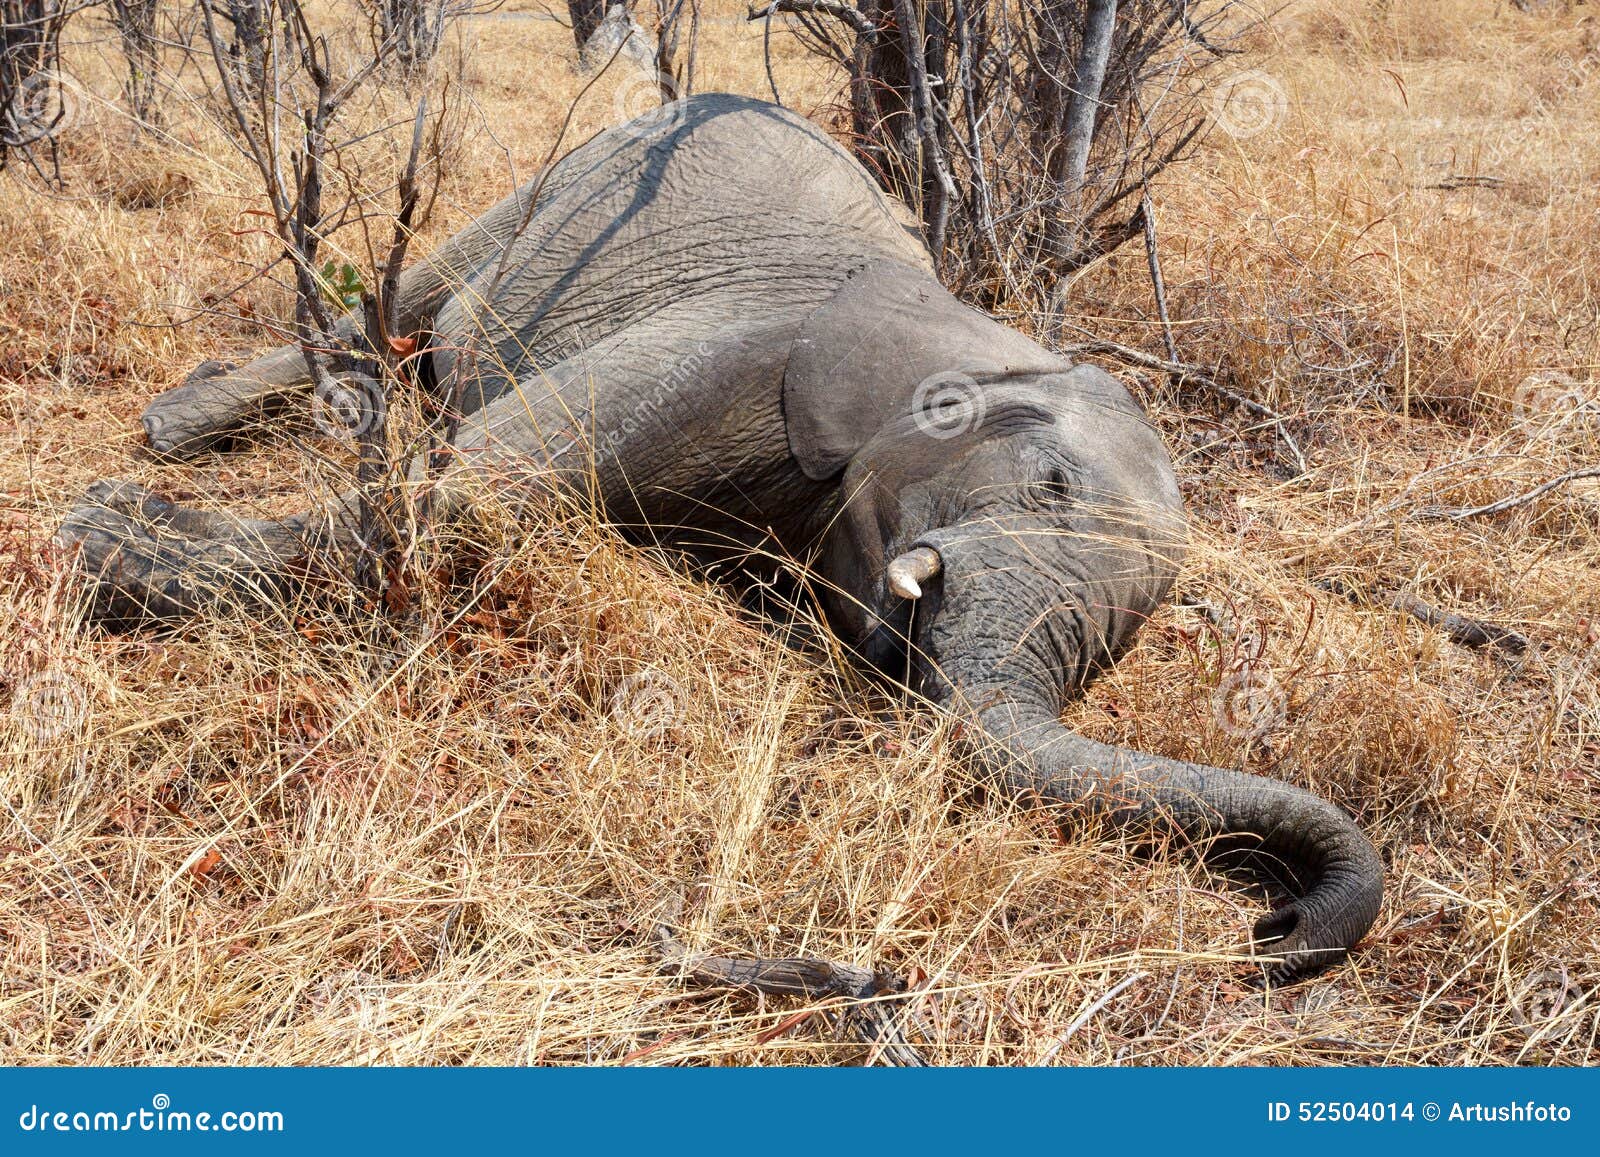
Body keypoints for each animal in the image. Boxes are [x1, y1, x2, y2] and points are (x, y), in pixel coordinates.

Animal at [58, 93, 1382, 983]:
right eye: (1048, 484)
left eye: (1125, 641)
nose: (1270, 926)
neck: (986, 337)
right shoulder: (742, 348)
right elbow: (480, 491)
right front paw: (101, 535)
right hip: (568, 178)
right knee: (408, 298)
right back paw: (182, 426)